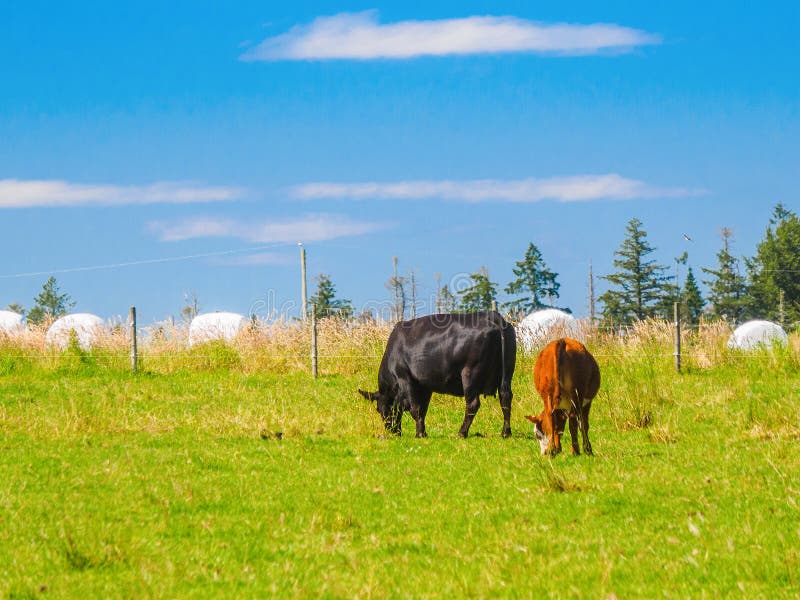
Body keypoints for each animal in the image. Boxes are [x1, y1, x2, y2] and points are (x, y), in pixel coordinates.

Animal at [358, 311, 516, 438]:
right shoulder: (424, 386)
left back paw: (461, 433)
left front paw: (419, 434)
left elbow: (415, 408)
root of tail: (493, 315)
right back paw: (506, 432)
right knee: (505, 398)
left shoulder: (405, 378)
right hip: (507, 372)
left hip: (469, 373)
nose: (393, 431)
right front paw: (423, 431)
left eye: (380, 409)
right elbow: (423, 409)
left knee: (473, 404)